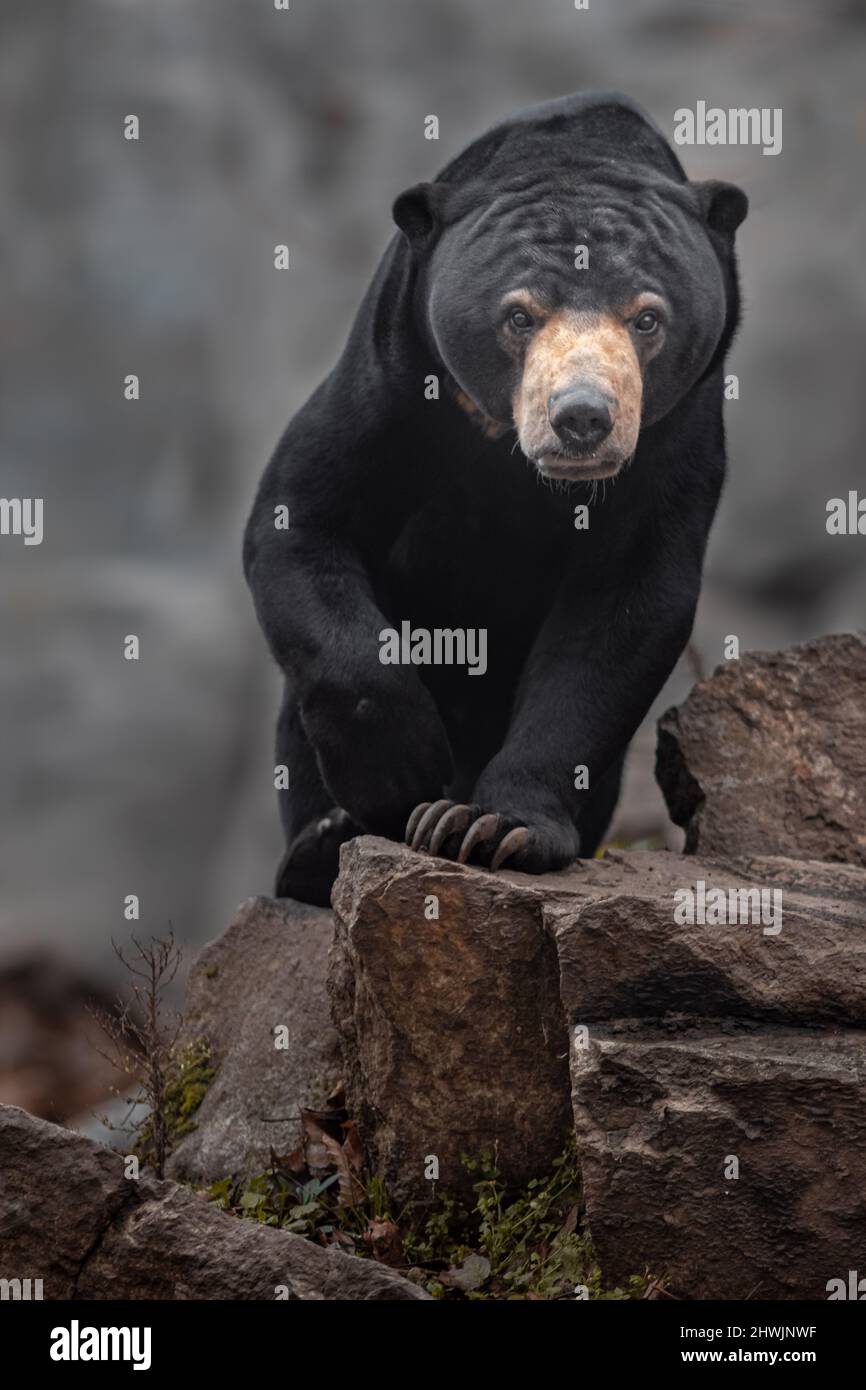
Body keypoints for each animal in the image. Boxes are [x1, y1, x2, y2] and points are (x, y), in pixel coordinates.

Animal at [243, 90, 747, 907]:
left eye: (647, 318)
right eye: (519, 316)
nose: (583, 419)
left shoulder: (678, 433)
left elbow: (623, 611)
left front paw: (486, 828)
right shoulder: (388, 378)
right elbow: (301, 520)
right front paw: (404, 775)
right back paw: (319, 846)